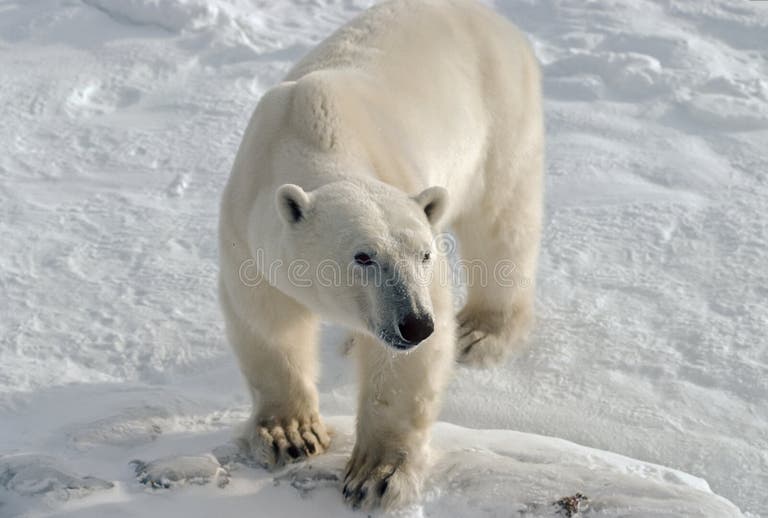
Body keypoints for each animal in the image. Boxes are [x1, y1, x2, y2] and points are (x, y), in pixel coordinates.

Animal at [218, 0, 543, 510]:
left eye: (424, 255)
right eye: (363, 257)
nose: (416, 324)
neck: (311, 133)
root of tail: (491, 16)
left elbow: (401, 370)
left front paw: (376, 476)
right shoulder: (247, 234)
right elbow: (267, 324)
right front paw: (291, 435)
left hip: (501, 112)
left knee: (501, 220)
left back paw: (480, 330)